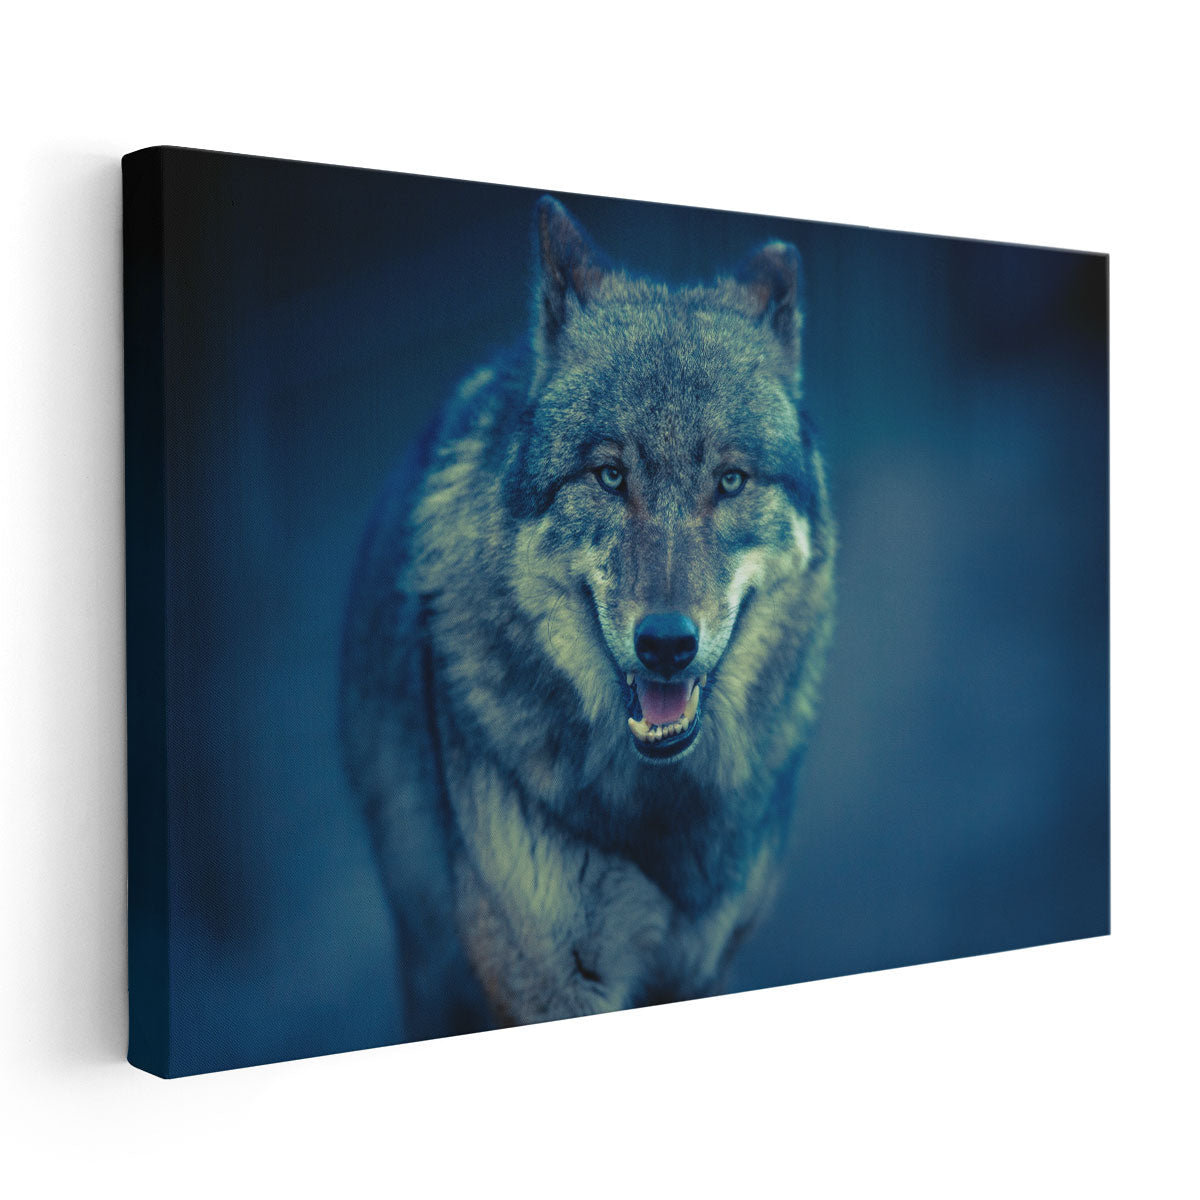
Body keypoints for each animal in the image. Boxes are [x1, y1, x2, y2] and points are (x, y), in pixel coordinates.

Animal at [340, 196, 836, 1039]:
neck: (659, 814)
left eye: (731, 482)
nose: (667, 645)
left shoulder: (704, 968)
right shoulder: (547, 985)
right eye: (608, 476)